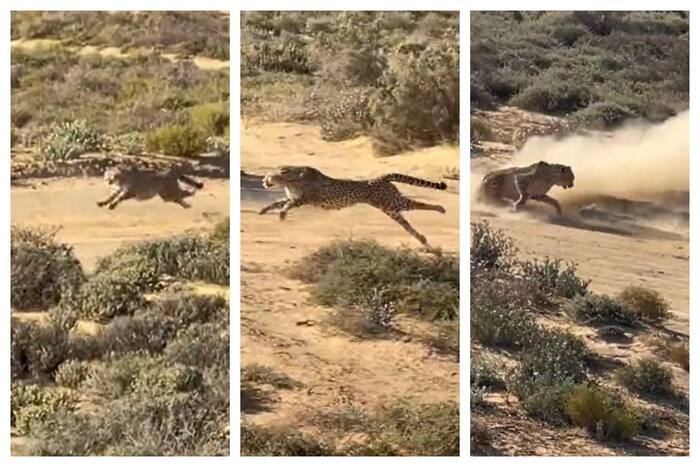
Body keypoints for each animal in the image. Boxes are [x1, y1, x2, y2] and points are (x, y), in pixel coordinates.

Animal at [259, 165, 448, 249]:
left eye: (267, 176)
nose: (262, 181)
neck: (289, 179)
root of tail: (380, 178)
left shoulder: (306, 199)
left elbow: (286, 204)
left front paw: (282, 214)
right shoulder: (295, 198)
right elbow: (277, 202)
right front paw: (264, 210)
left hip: (392, 203)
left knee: (418, 204)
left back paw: (440, 209)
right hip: (390, 209)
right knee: (409, 225)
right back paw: (426, 242)